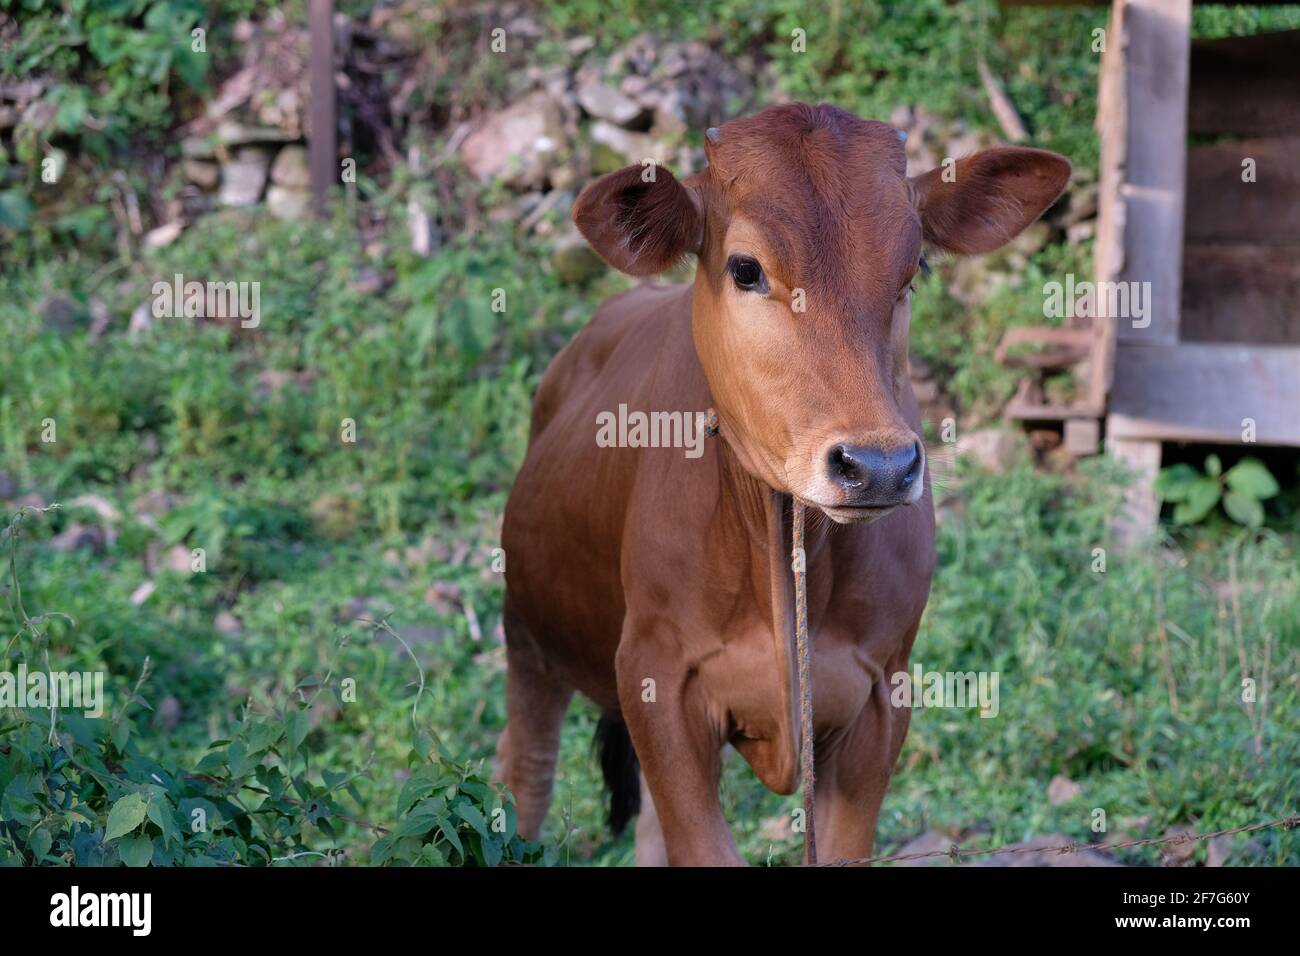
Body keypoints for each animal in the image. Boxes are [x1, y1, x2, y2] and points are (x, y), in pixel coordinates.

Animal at [497, 102, 1070, 865]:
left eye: (914, 266)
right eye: (745, 268)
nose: (877, 465)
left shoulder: (881, 697)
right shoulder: (659, 683)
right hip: (526, 635)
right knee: (525, 776)